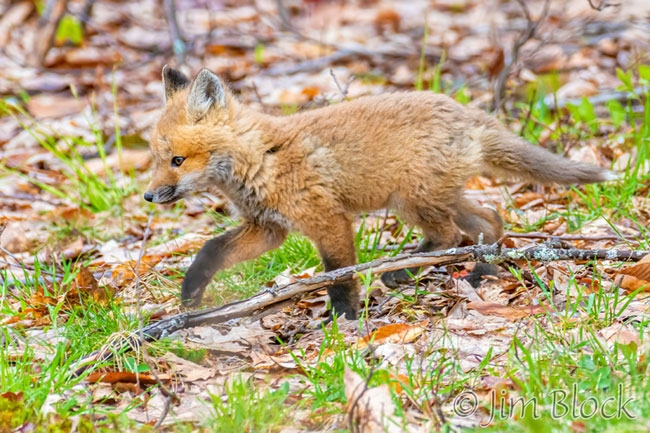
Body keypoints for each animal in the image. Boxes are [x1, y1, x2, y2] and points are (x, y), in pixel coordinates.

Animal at [144, 65, 616, 320]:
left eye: (177, 161)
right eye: (155, 158)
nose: (149, 197)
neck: (262, 158)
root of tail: (470, 114)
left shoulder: (328, 220)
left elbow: (339, 277)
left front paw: (343, 321)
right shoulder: (267, 229)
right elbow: (209, 252)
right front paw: (190, 297)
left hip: (412, 201)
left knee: (450, 235)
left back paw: (407, 271)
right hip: (436, 198)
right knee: (487, 220)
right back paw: (481, 271)